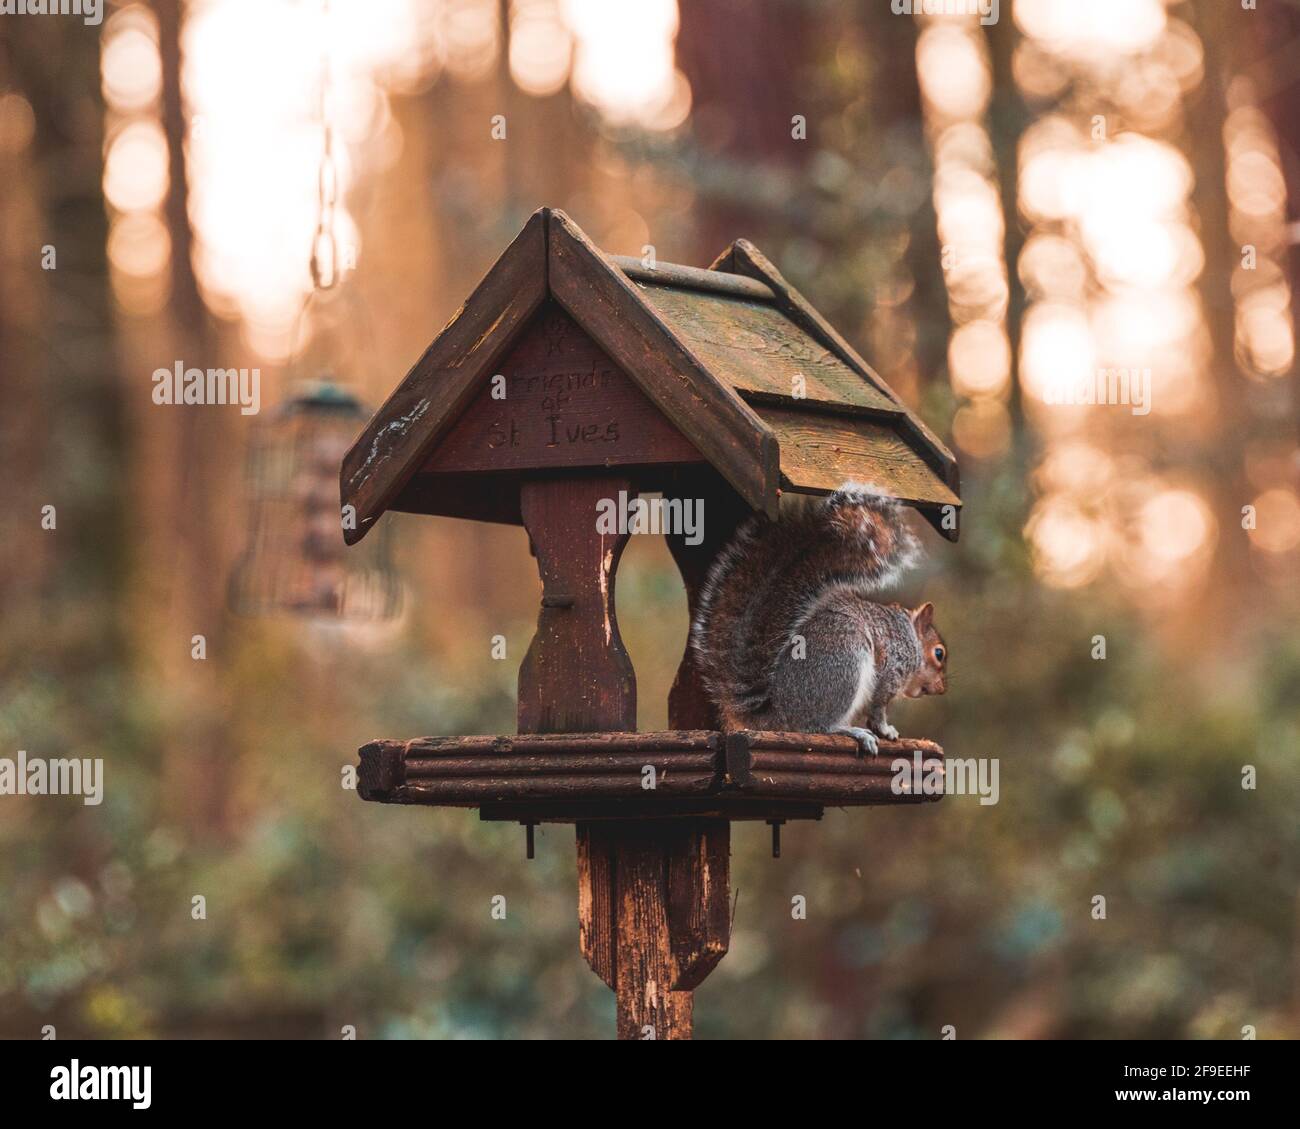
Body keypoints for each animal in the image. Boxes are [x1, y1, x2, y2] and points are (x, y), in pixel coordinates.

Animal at [690, 482, 947, 756]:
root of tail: (779, 713)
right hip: (845, 661)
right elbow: (878, 710)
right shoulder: (890, 672)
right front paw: (886, 730)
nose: (942, 688)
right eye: (939, 653)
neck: (910, 638)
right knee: (816, 726)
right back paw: (850, 731)